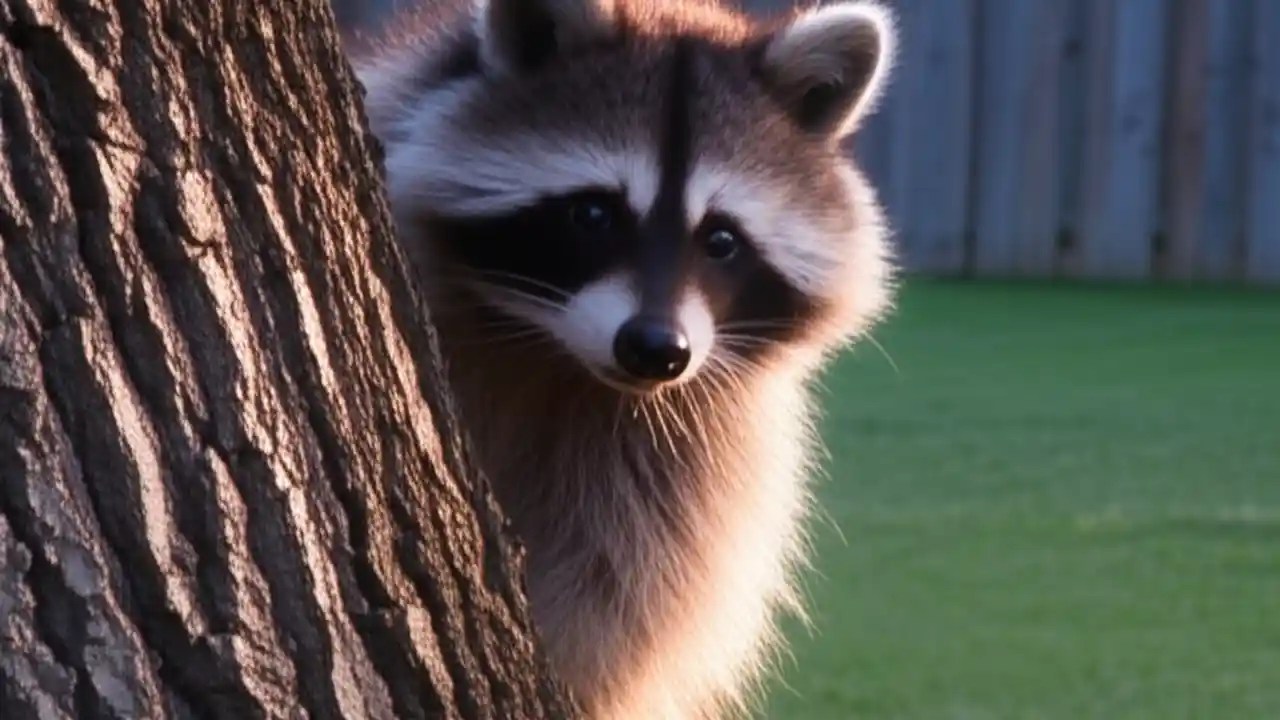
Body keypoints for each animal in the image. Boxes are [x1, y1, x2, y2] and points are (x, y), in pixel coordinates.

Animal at [349, 1, 897, 716]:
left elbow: (614, 604)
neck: (555, 354)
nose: (656, 350)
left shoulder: (691, 464)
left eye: (722, 240)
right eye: (592, 214)